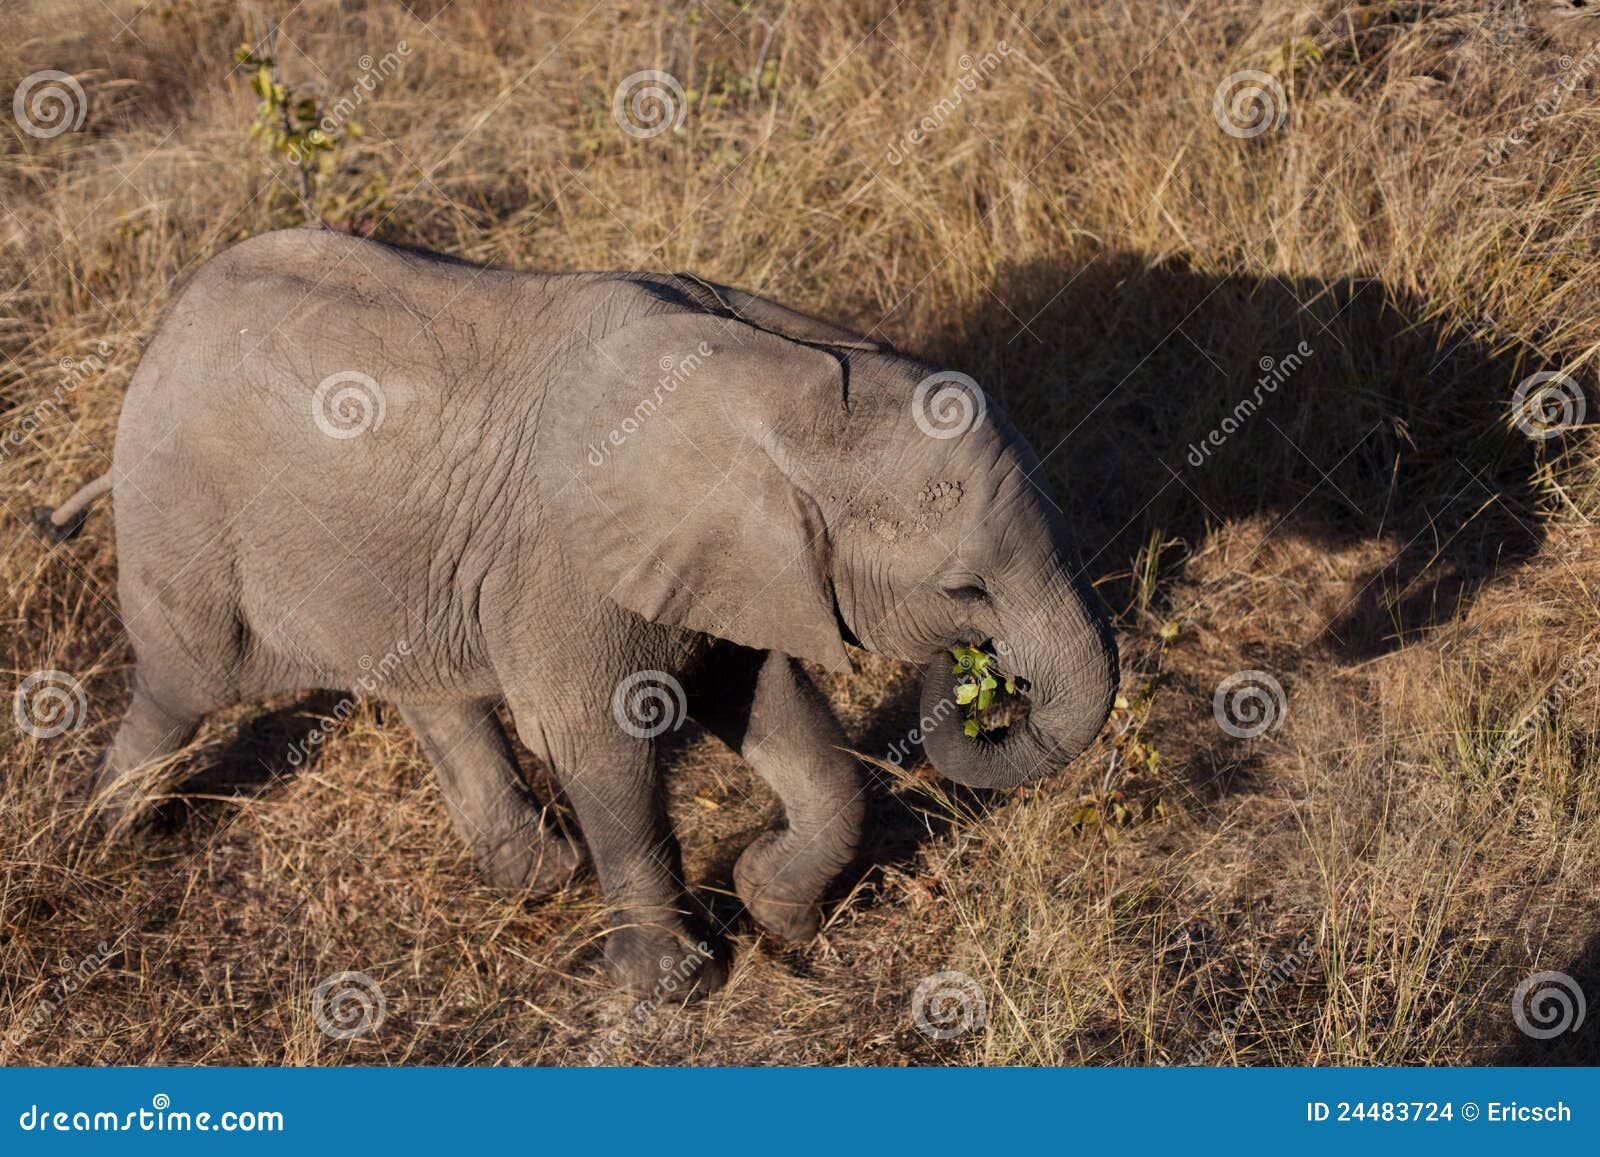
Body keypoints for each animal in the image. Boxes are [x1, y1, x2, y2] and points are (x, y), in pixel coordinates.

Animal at [34, 228, 1118, 995]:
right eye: (964, 589)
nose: (982, 672)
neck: (792, 380)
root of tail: (160, 338)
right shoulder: (571, 562)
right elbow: (601, 735)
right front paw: (672, 990)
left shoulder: (725, 562)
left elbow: (773, 708)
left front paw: (773, 908)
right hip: (185, 513)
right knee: (183, 681)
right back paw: (107, 836)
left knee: (427, 684)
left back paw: (540, 877)